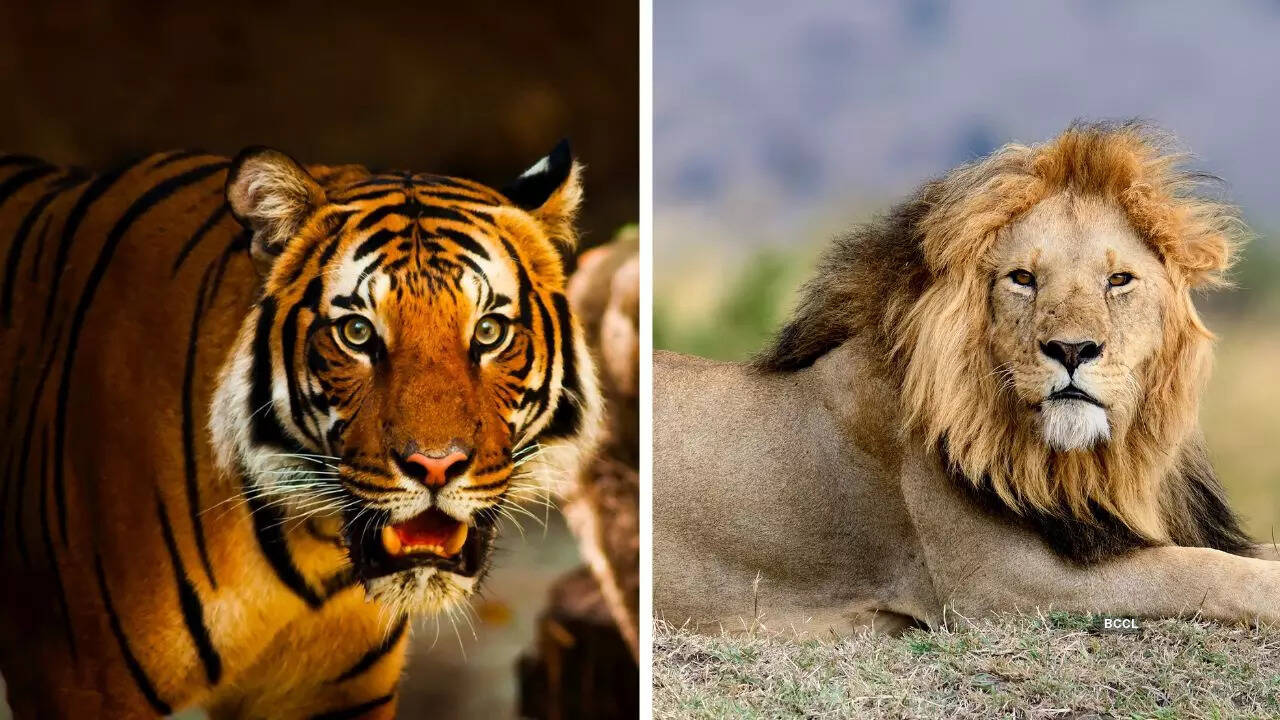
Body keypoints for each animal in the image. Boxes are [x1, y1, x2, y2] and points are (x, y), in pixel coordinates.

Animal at [0, 141, 601, 718]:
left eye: (490, 331)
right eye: (357, 332)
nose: (435, 466)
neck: (309, 548)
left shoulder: (334, 694)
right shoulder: (82, 685)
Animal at [654, 121, 1280, 636]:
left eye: (1119, 280)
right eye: (1022, 278)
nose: (1071, 349)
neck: (1092, 462)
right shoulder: (999, 582)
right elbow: (1201, 571)